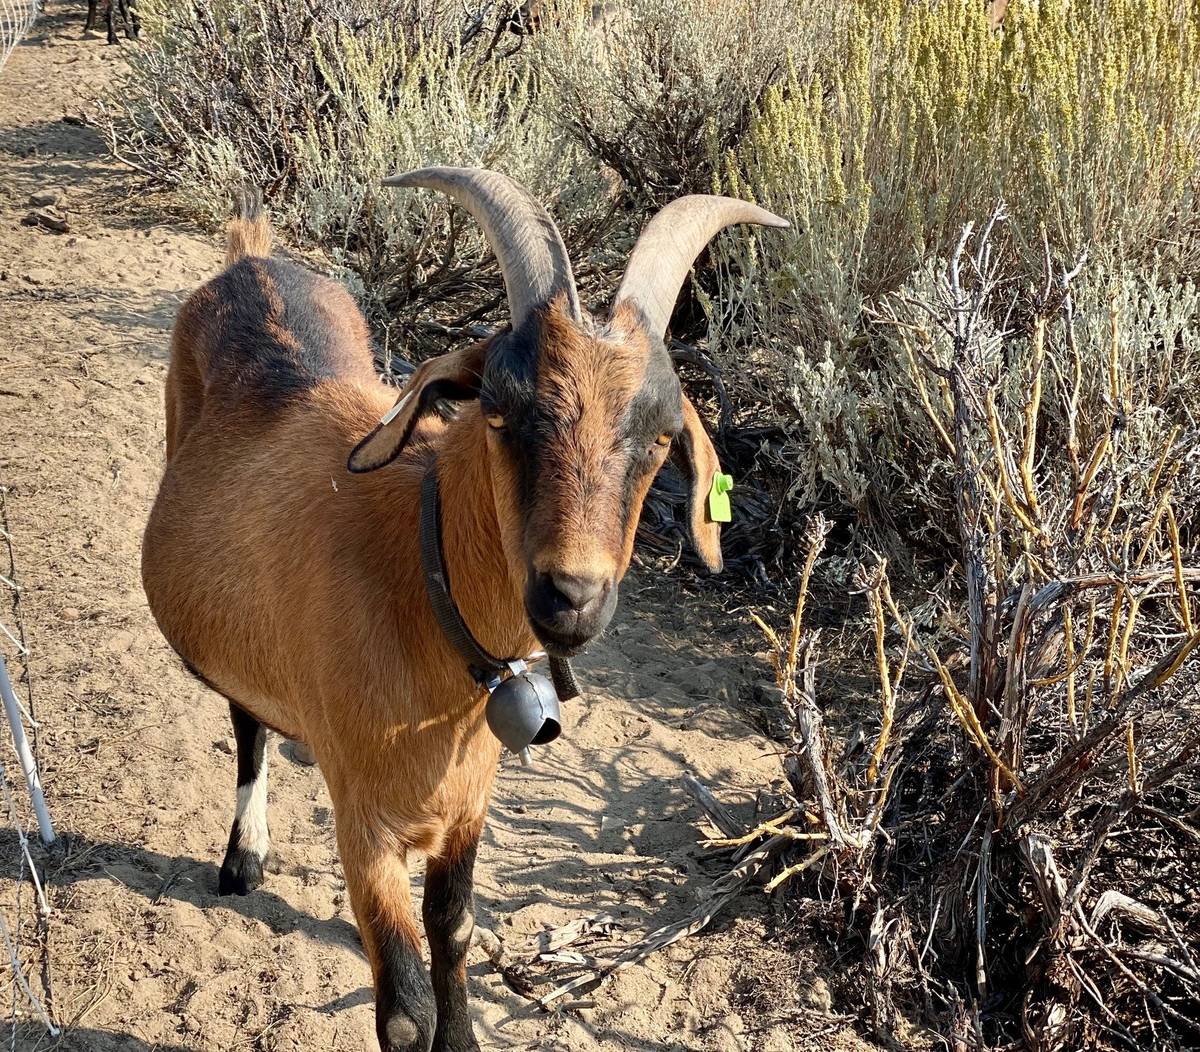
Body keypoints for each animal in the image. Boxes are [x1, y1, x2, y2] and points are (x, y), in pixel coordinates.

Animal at [141, 170, 787, 1051]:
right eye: (500, 409)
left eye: (658, 437)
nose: (571, 595)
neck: (420, 582)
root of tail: (251, 257)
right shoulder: (366, 827)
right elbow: (403, 1008)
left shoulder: (467, 808)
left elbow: (454, 928)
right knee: (246, 721)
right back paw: (244, 860)